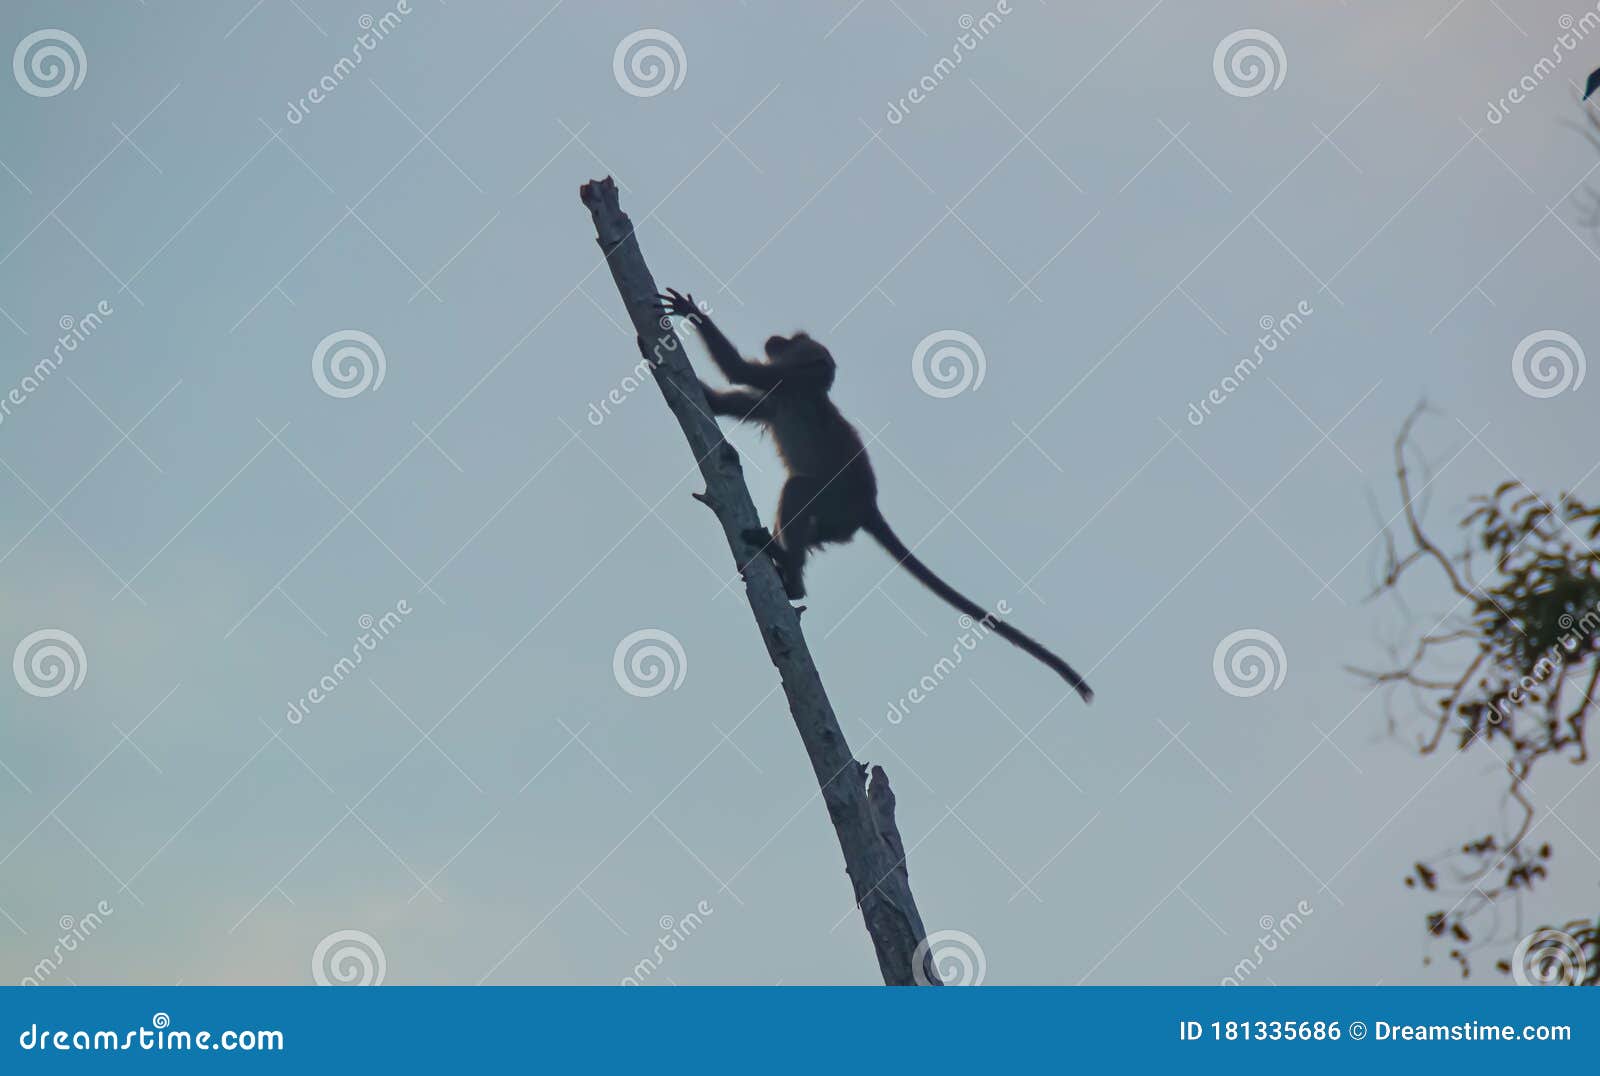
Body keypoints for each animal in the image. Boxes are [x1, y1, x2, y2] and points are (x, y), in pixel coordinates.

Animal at [655, 288, 1094, 704]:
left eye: (796, 342)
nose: (778, 339)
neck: (807, 389)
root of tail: (869, 507)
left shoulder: (785, 383)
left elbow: (738, 370)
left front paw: (693, 315)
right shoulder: (777, 399)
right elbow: (722, 403)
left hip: (837, 507)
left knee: (799, 488)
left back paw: (789, 571)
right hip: (838, 524)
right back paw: (789, 565)